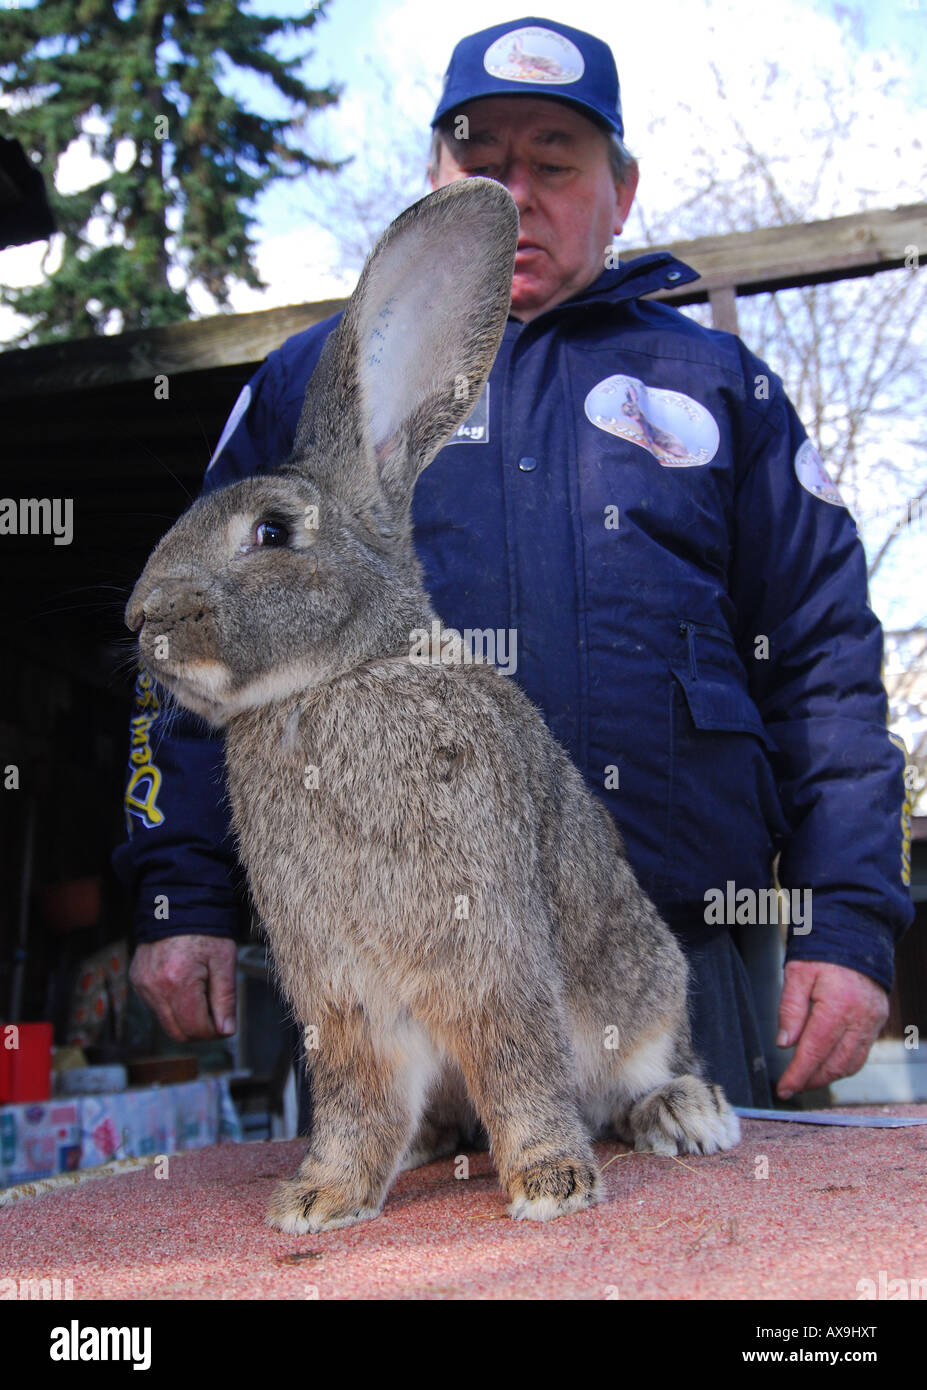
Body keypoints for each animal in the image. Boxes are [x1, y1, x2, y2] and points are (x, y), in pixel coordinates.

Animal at [126, 177, 740, 1234]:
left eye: (273, 532)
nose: (140, 619)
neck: (338, 678)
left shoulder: (489, 952)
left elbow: (519, 1061)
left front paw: (550, 1183)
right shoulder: (343, 1002)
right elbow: (358, 1100)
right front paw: (322, 1197)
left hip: (646, 985)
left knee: (632, 1074)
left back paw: (681, 1112)